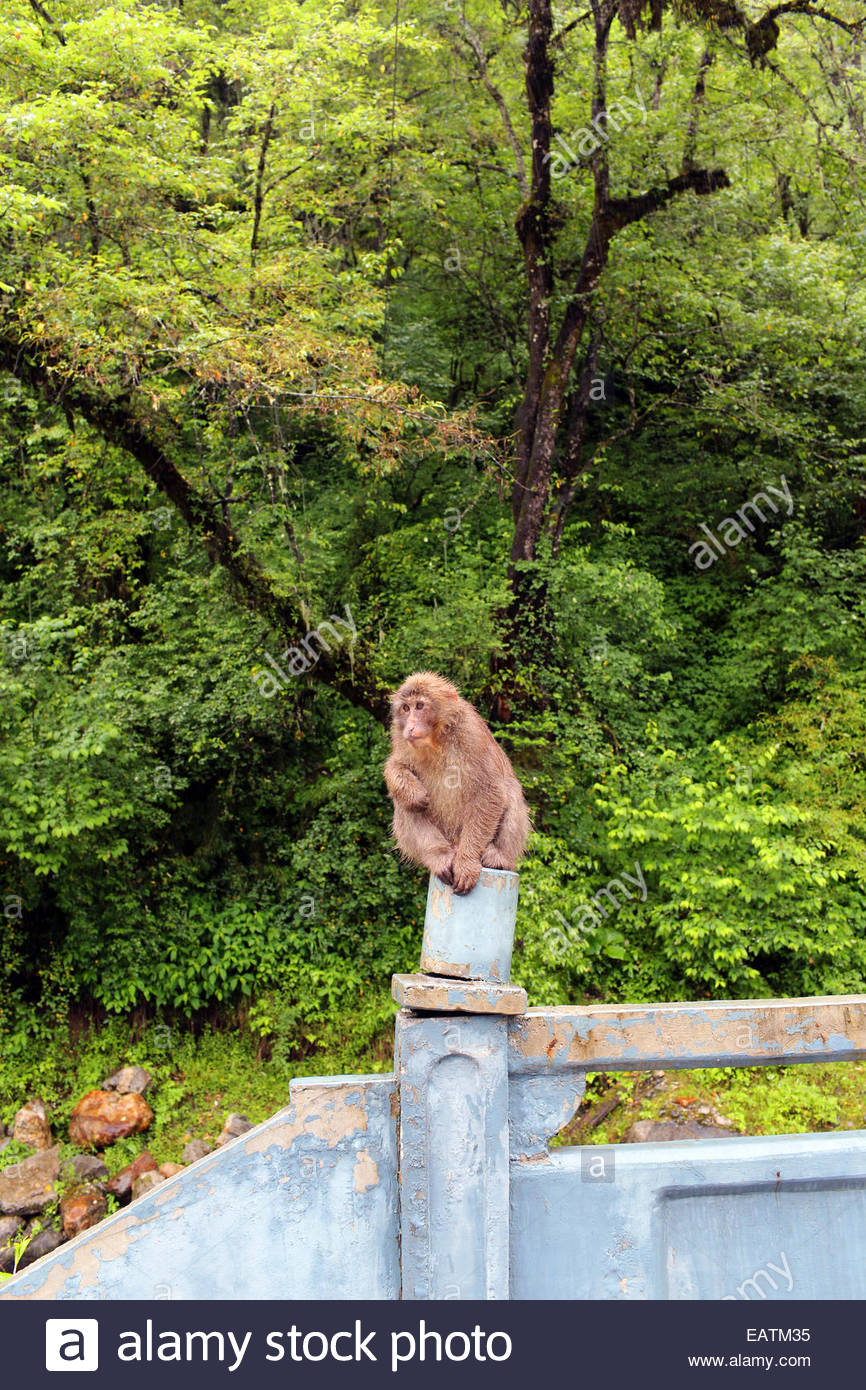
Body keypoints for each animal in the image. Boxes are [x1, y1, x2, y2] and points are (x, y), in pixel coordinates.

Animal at [384, 671, 531, 895]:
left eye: (420, 705)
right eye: (405, 708)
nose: (410, 726)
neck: (437, 739)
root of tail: (454, 843)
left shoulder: (471, 732)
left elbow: (490, 791)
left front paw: (467, 863)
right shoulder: (399, 737)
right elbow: (396, 764)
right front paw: (413, 793)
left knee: (510, 789)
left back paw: (498, 857)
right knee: (405, 805)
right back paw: (439, 854)